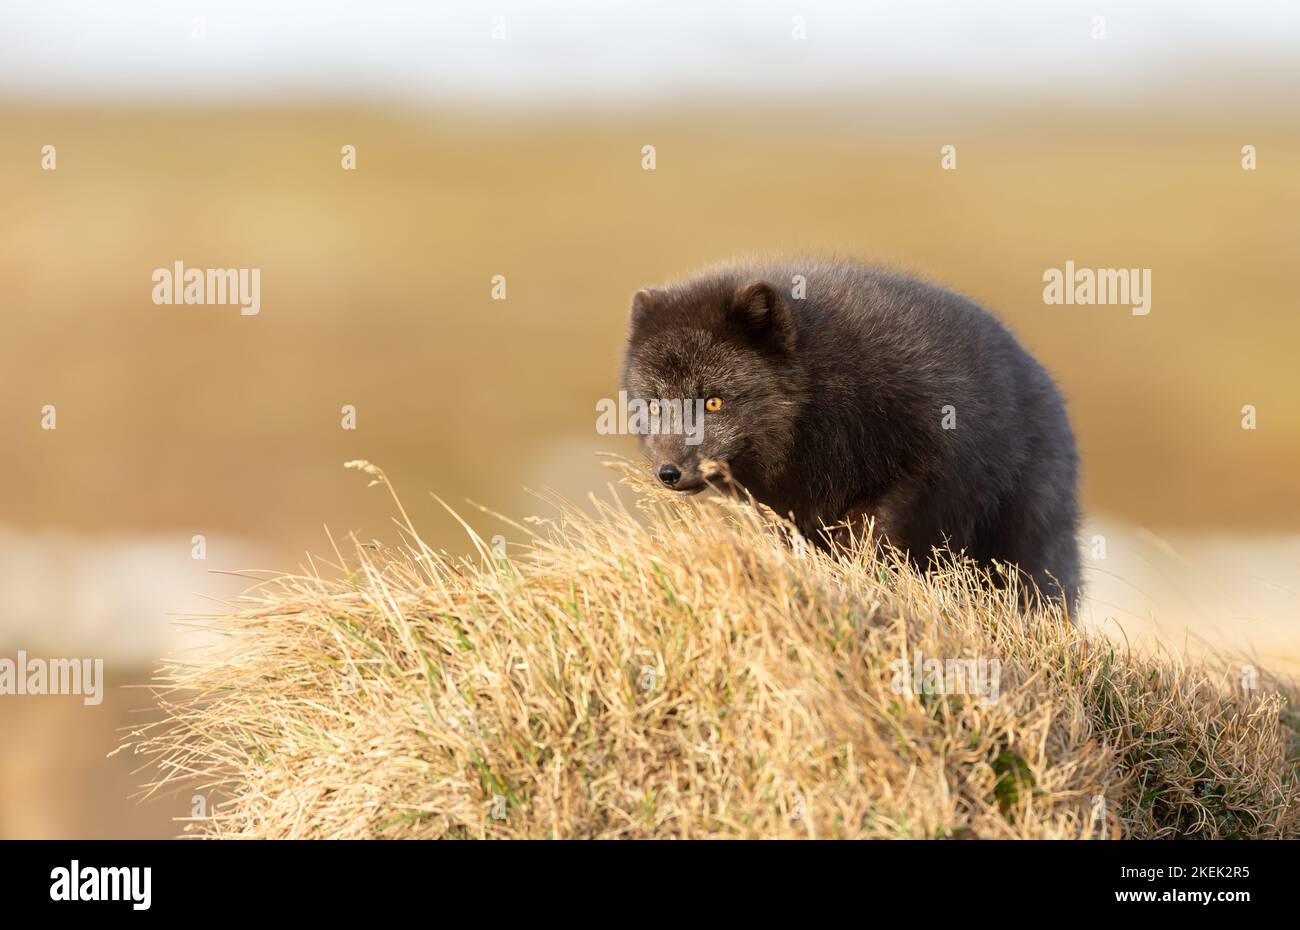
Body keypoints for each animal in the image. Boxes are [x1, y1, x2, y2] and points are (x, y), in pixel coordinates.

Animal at [620, 259, 1082, 613]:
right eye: (655, 404)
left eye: (713, 402)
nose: (669, 473)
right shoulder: (790, 512)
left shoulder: (920, 467)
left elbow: (872, 536)